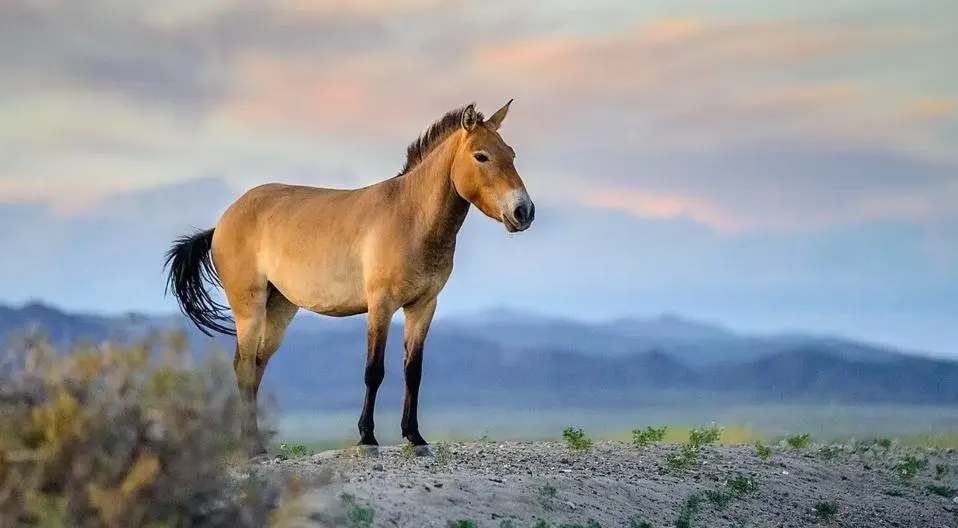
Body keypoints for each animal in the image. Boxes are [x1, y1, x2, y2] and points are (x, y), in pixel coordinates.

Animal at [163, 100, 535, 456]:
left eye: (512, 154)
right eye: (481, 156)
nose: (524, 211)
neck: (411, 217)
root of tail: (223, 221)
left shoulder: (423, 306)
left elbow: (412, 372)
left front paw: (414, 437)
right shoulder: (381, 305)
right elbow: (374, 370)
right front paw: (367, 438)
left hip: (279, 309)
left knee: (255, 367)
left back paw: (254, 443)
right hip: (249, 308)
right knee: (243, 367)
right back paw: (251, 448)